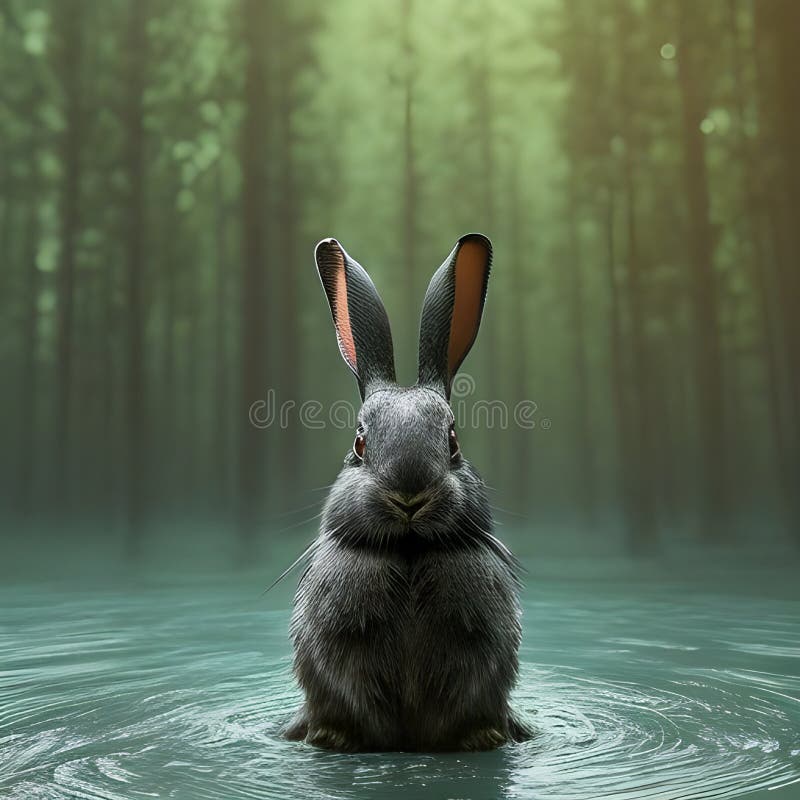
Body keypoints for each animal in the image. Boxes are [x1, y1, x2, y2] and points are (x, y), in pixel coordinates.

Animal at [283, 233, 530, 752]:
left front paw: (482, 738)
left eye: (453, 442)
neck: (410, 550)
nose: (409, 497)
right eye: (359, 444)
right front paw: (334, 738)